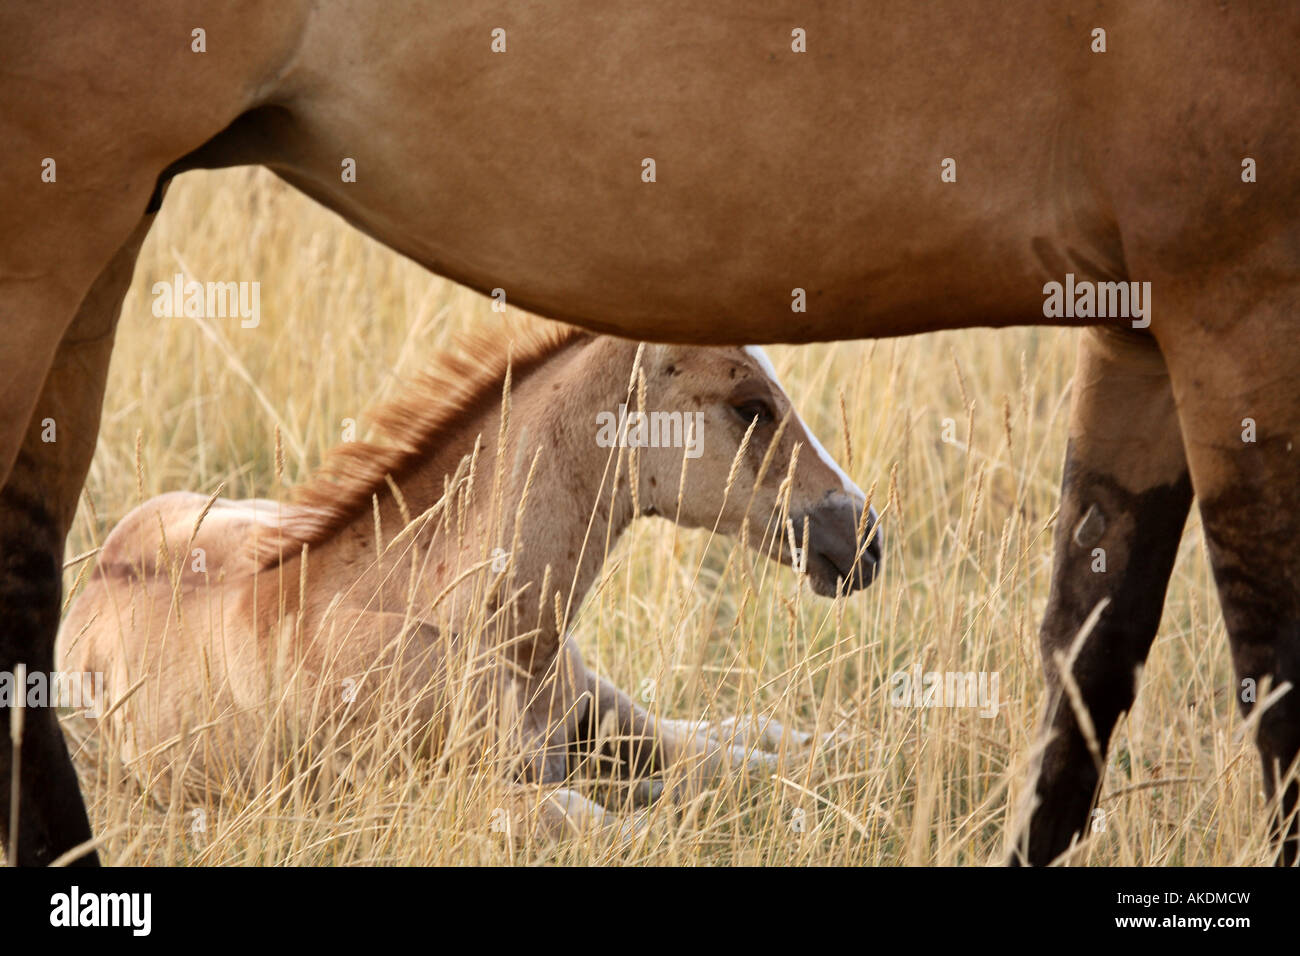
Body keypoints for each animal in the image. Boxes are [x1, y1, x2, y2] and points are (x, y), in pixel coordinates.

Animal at [55, 325, 880, 837]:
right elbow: (603, 819)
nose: (867, 538)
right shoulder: (421, 797)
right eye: (750, 406)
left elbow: (754, 760)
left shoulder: (610, 723)